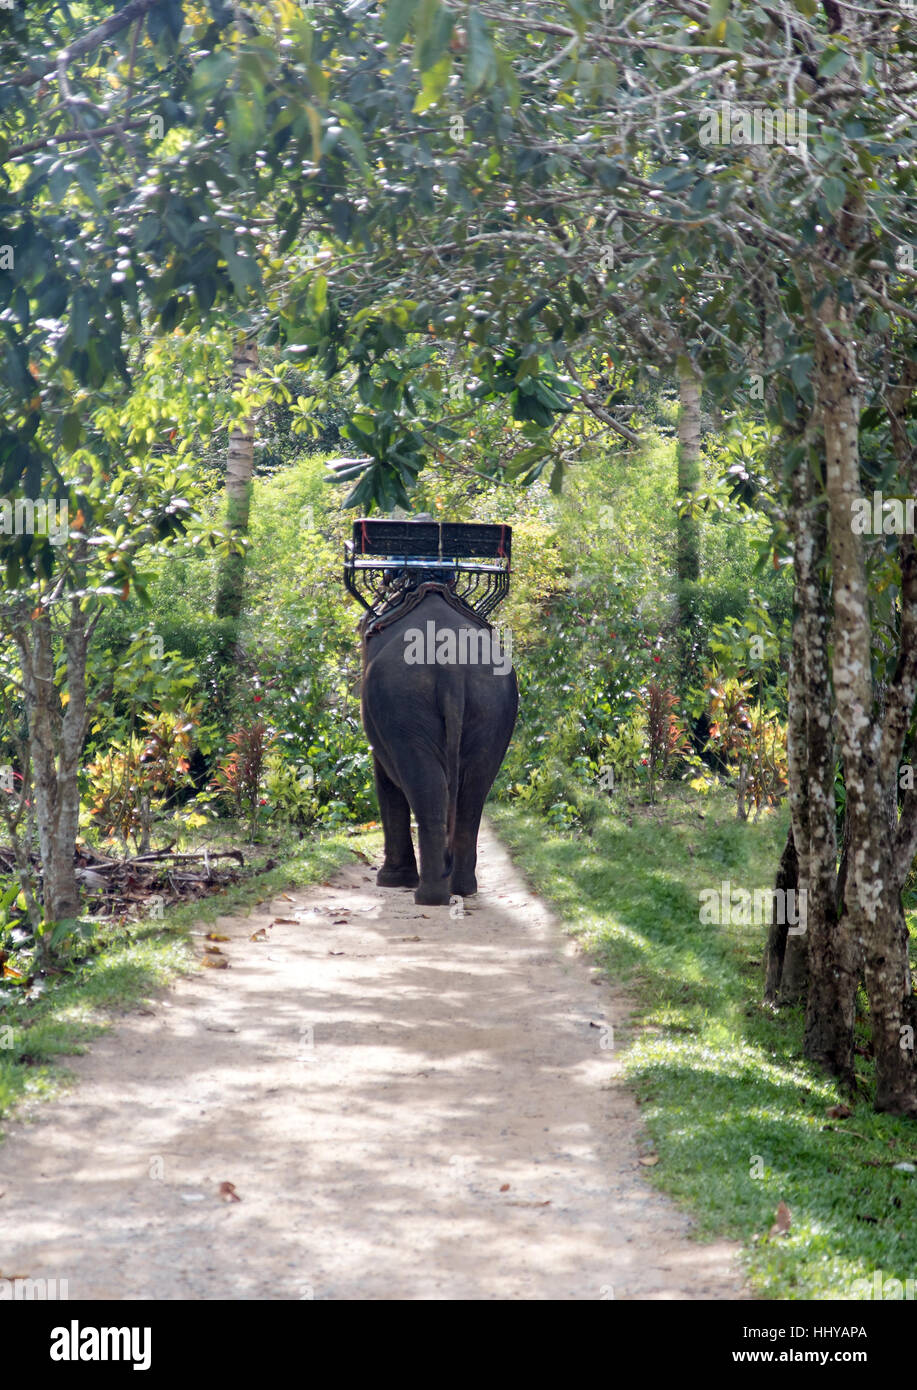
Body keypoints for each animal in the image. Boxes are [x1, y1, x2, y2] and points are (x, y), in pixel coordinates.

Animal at [361, 583, 518, 906]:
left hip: (404, 705)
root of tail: (451, 669)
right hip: (491, 706)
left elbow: (385, 778)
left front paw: (390, 881)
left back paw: (428, 896)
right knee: (473, 789)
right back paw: (461, 888)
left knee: (426, 784)